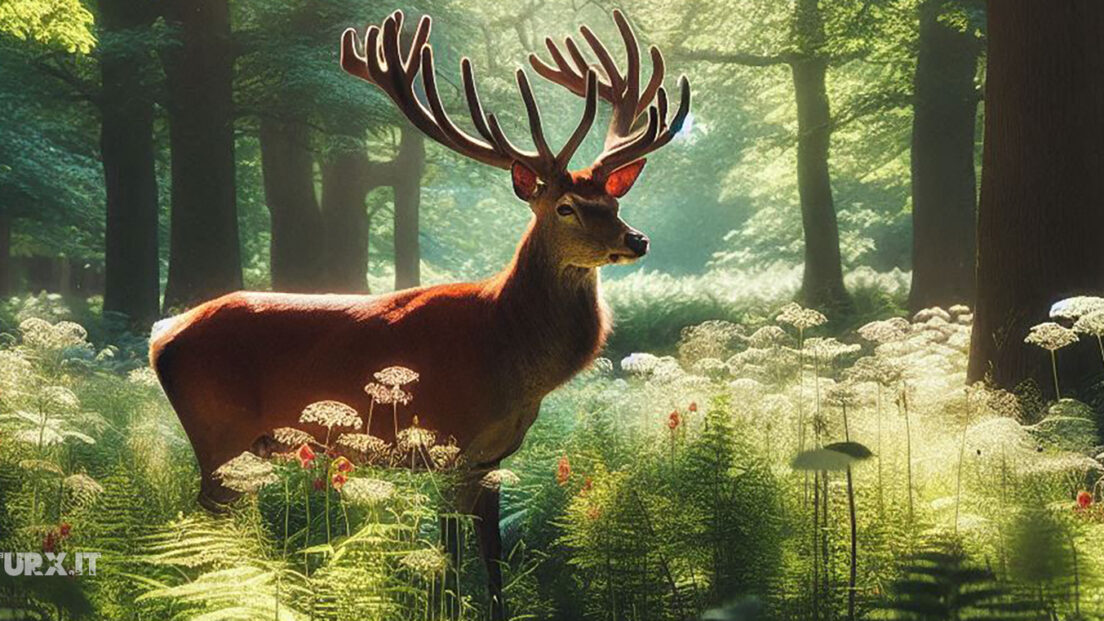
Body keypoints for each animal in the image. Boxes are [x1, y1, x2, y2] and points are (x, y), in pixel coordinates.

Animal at [149, 9, 689, 619]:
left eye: (614, 202)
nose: (636, 239)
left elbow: (493, 561)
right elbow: (449, 558)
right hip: (218, 432)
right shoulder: (448, 445)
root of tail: (160, 337)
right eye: (566, 207)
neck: (509, 349)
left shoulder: (490, 459)